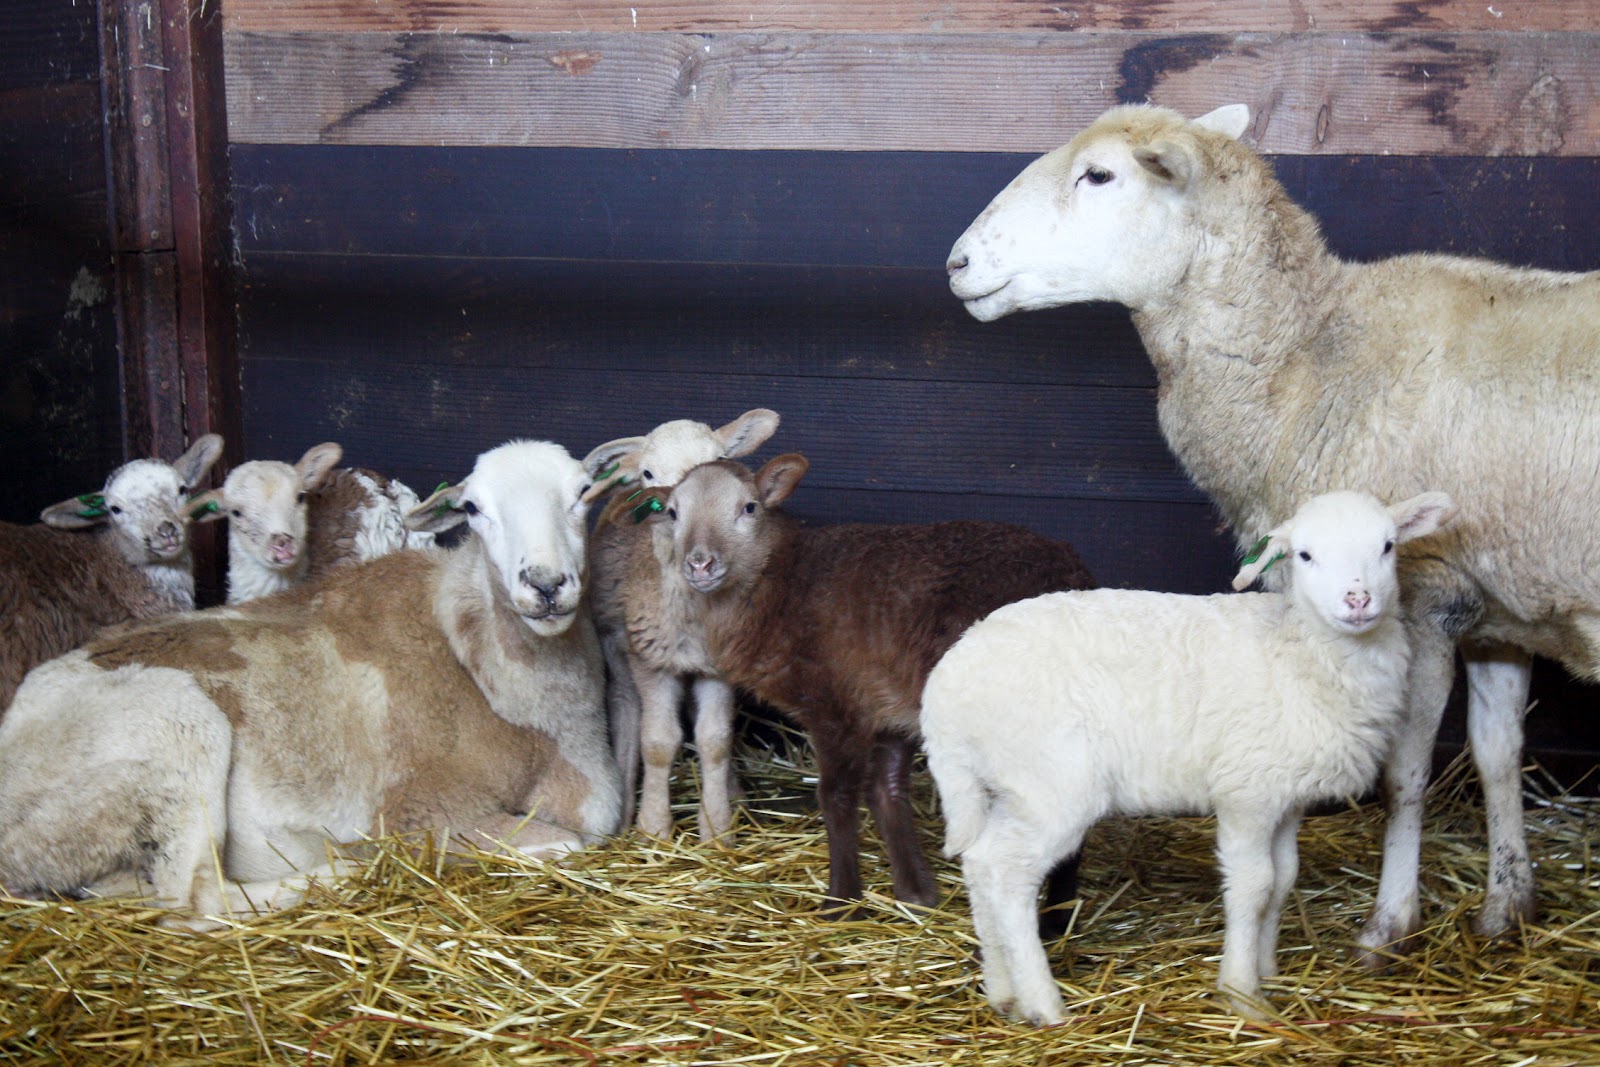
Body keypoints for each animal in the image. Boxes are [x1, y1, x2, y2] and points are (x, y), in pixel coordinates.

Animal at [581, 409, 781, 839]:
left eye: (720, 459)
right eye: (648, 472)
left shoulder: (718, 669)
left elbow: (715, 740)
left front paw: (717, 828)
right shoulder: (651, 663)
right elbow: (658, 741)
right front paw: (654, 828)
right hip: (619, 650)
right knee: (627, 713)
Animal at [630, 454, 1096, 918]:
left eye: (749, 508)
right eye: (673, 513)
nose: (700, 564)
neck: (781, 582)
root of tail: (1074, 572)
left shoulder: (834, 703)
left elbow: (836, 797)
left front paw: (840, 901)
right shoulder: (888, 704)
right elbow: (886, 791)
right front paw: (914, 893)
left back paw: (1055, 919)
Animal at [922, 490, 1458, 1023]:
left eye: (1387, 546)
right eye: (1305, 555)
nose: (1357, 599)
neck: (1298, 650)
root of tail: (944, 691)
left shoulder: (1287, 796)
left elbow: (1285, 878)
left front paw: (1267, 970)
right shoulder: (1247, 793)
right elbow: (1255, 885)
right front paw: (1243, 993)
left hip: (1008, 783)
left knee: (979, 862)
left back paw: (1002, 990)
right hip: (1051, 782)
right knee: (1008, 873)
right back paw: (1044, 1003)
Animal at [945, 101, 1600, 964]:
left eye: (1100, 175)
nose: (956, 262)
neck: (1306, 361)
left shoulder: (1420, 598)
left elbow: (1405, 776)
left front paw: (1387, 925)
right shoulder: (1494, 605)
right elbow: (1497, 758)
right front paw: (1505, 906)